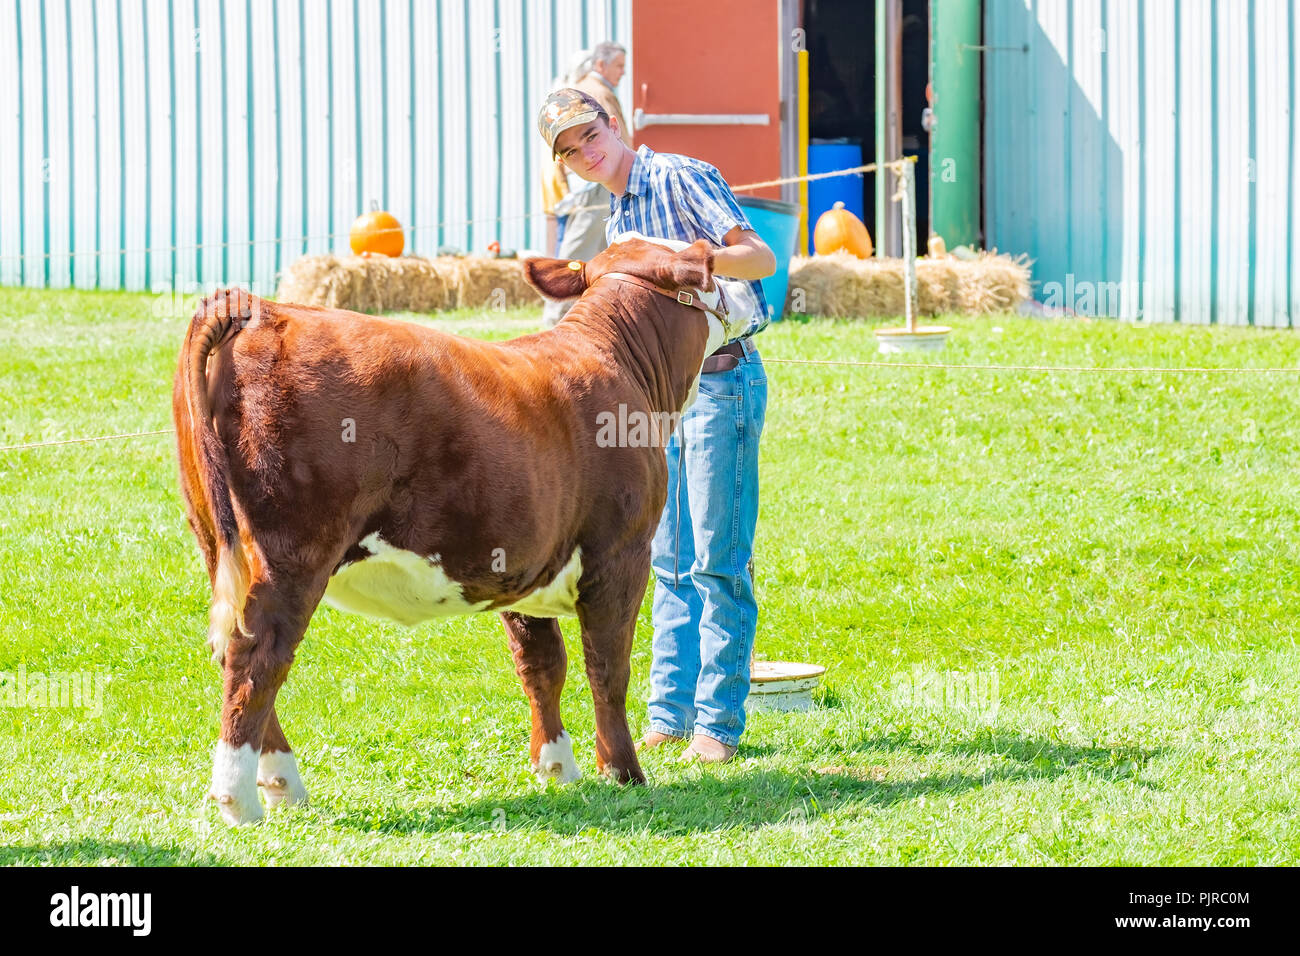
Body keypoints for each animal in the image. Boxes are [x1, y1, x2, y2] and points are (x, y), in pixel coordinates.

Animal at [173, 235, 748, 825]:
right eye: (713, 267)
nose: (752, 292)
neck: (619, 367)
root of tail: (259, 308)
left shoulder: (522, 558)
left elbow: (543, 664)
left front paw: (557, 768)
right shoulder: (621, 554)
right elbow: (607, 667)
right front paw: (623, 772)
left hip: (222, 546)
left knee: (234, 645)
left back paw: (282, 784)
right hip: (293, 552)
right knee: (257, 655)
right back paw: (243, 798)